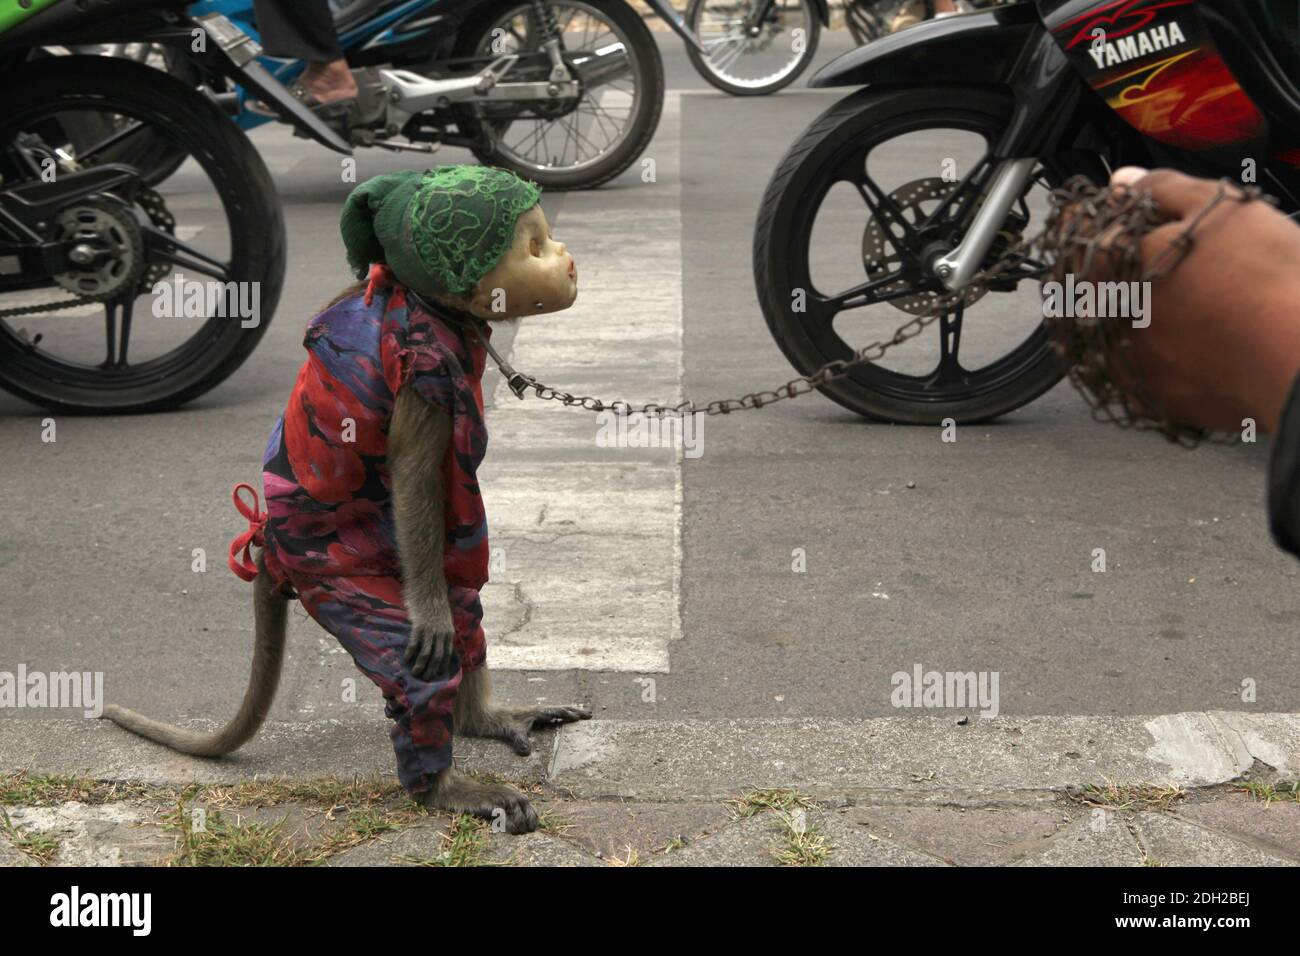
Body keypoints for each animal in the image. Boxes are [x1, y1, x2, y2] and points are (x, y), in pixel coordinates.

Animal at [101, 167, 588, 834]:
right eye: (533, 246)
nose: (563, 255)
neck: (435, 309)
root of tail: (269, 547)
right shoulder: (424, 369)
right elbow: (413, 477)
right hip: (338, 584)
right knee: (412, 655)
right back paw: (443, 785)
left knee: (464, 610)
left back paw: (477, 719)